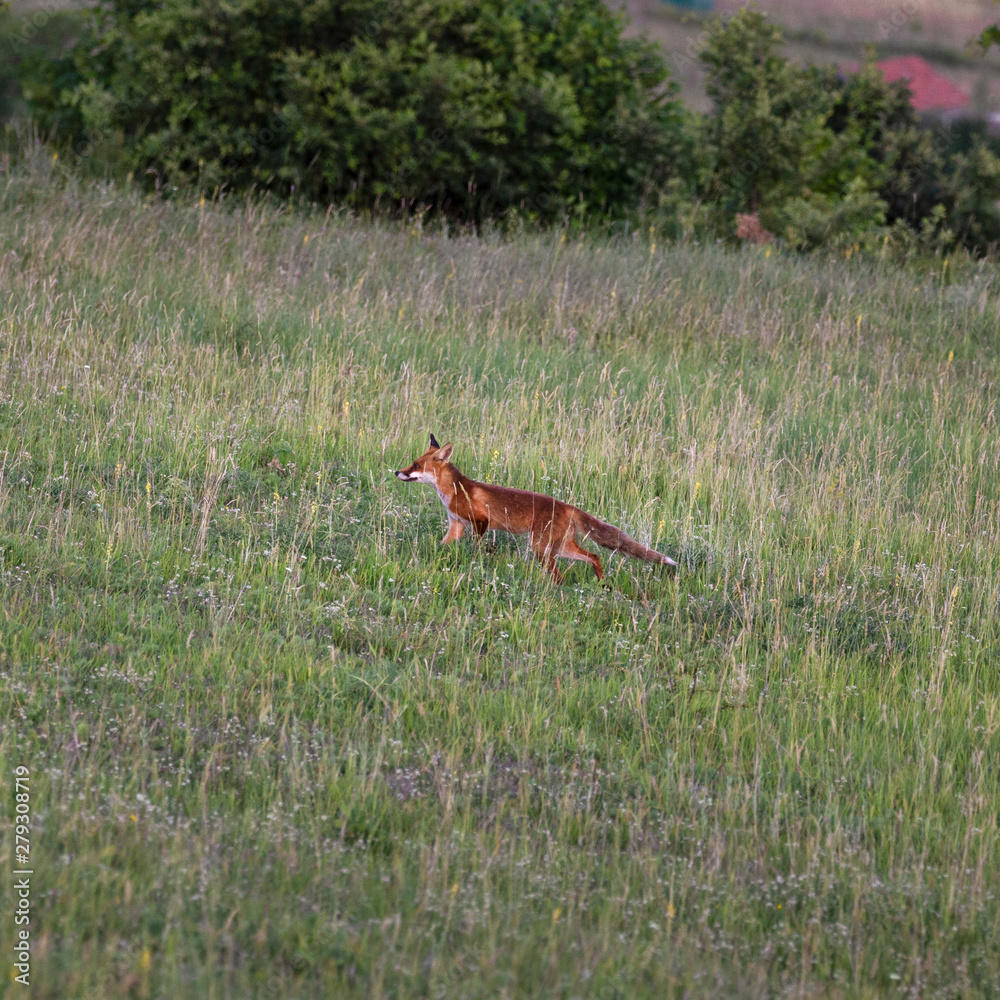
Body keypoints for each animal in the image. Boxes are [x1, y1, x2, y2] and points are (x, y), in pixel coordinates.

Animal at [395, 434, 677, 584]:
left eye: (416, 465)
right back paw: (600, 582)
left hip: (542, 548)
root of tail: (567, 505)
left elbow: (477, 547)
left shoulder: (480, 521)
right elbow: (443, 546)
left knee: (560, 575)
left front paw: (477, 561)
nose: (397, 472)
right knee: (594, 556)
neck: (454, 491)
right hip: (560, 548)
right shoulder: (456, 525)